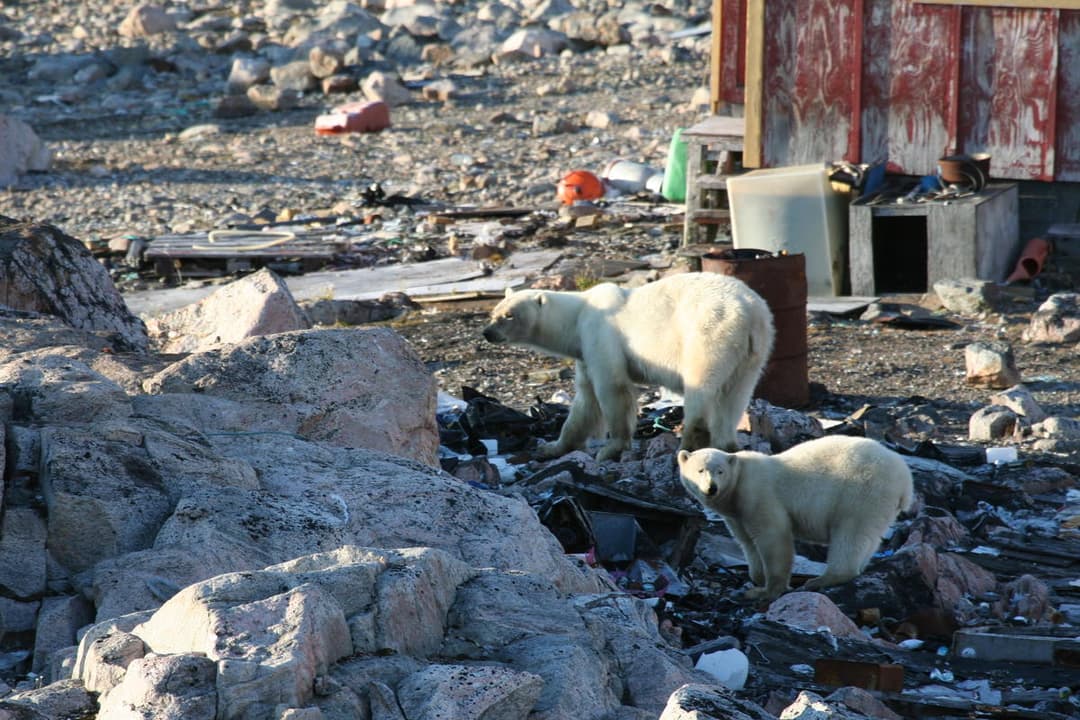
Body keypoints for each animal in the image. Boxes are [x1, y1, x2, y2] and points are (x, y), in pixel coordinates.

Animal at [482, 272, 775, 462]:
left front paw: (610, 449)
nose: (487, 332)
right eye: (494, 312)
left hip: (709, 333)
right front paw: (552, 448)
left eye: (509, 315)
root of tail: (749, 312)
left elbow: (612, 389)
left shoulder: (600, 334)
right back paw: (728, 443)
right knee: (734, 395)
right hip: (753, 352)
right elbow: (585, 402)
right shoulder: (585, 351)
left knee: (701, 385)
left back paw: (691, 444)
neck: (577, 317)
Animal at [677, 435, 914, 600]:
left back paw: (821, 580)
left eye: (720, 471)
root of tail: (905, 480)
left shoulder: (759, 494)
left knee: (850, 533)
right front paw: (757, 579)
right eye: (700, 470)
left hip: (862, 491)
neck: (738, 485)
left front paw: (766, 590)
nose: (712, 488)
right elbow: (747, 542)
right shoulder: (736, 514)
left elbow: (773, 536)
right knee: (868, 537)